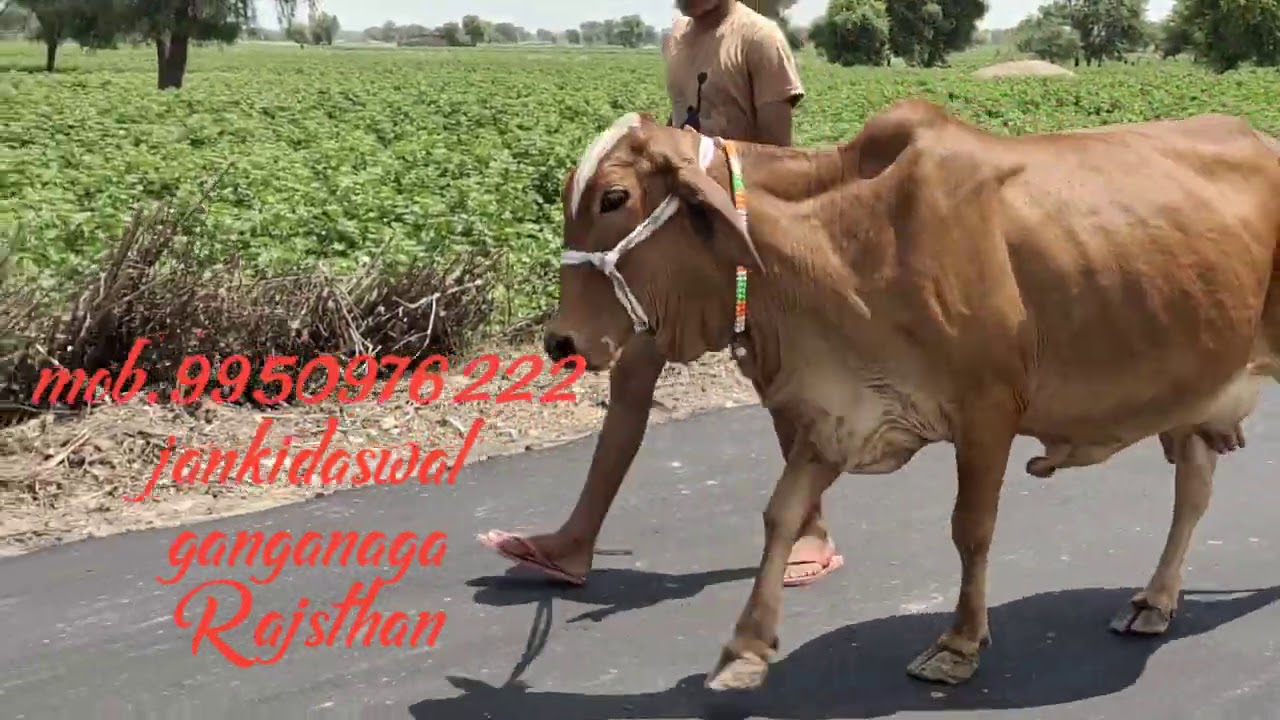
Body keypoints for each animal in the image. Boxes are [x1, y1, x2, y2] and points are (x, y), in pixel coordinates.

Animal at [543, 99, 1280, 691]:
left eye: (614, 197)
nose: (558, 341)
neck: (842, 241)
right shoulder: (838, 410)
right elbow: (781, 515)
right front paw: (745, 648)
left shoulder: (987, 411)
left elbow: (970, 528)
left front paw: (958, 644)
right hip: (1195, 386)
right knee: (1193, 491)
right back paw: (1155, 600)